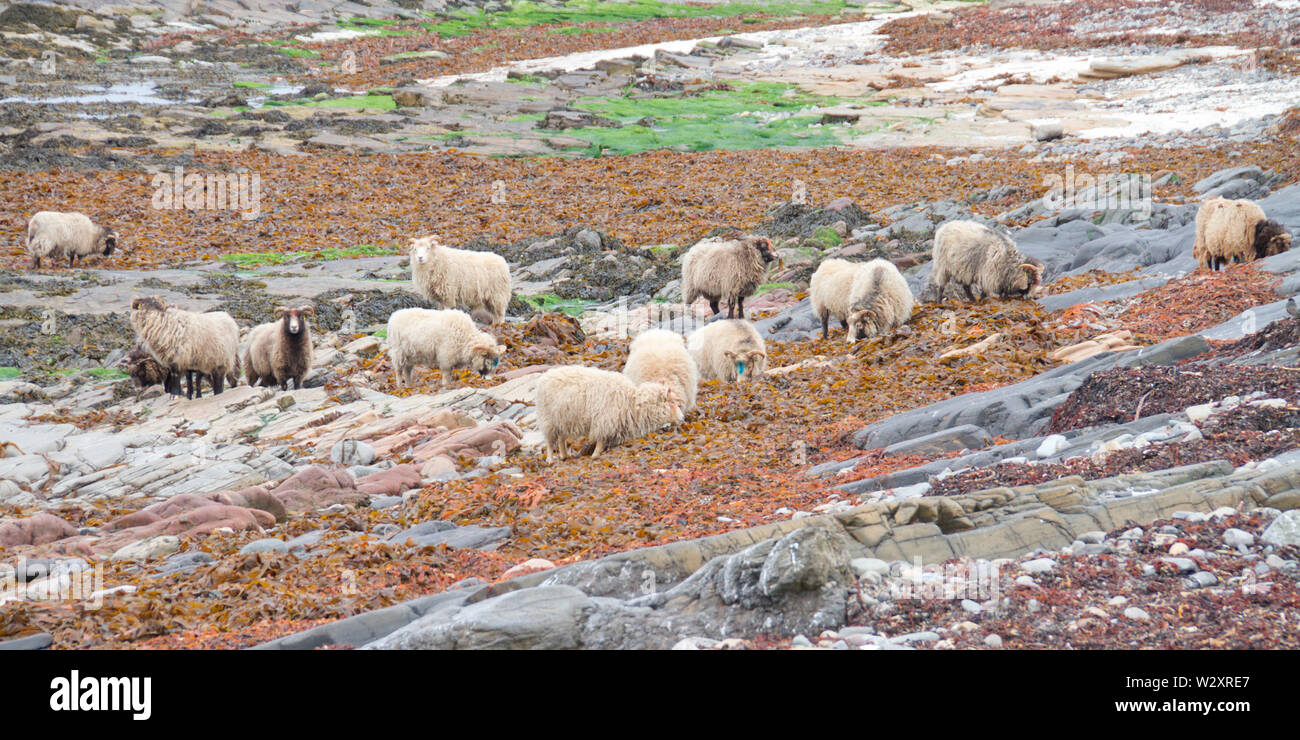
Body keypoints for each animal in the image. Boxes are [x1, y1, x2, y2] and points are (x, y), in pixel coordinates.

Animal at [534, 365, 684, 462]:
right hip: (548, 419)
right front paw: (595, 455)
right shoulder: (604, 421)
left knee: (561, 439)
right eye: (671, 402)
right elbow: (600, 440)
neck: (631, 402)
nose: (682, 418)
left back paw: (564, 455)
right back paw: (550, 459)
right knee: (549, 442)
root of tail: (545, 375)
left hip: (563, 419)